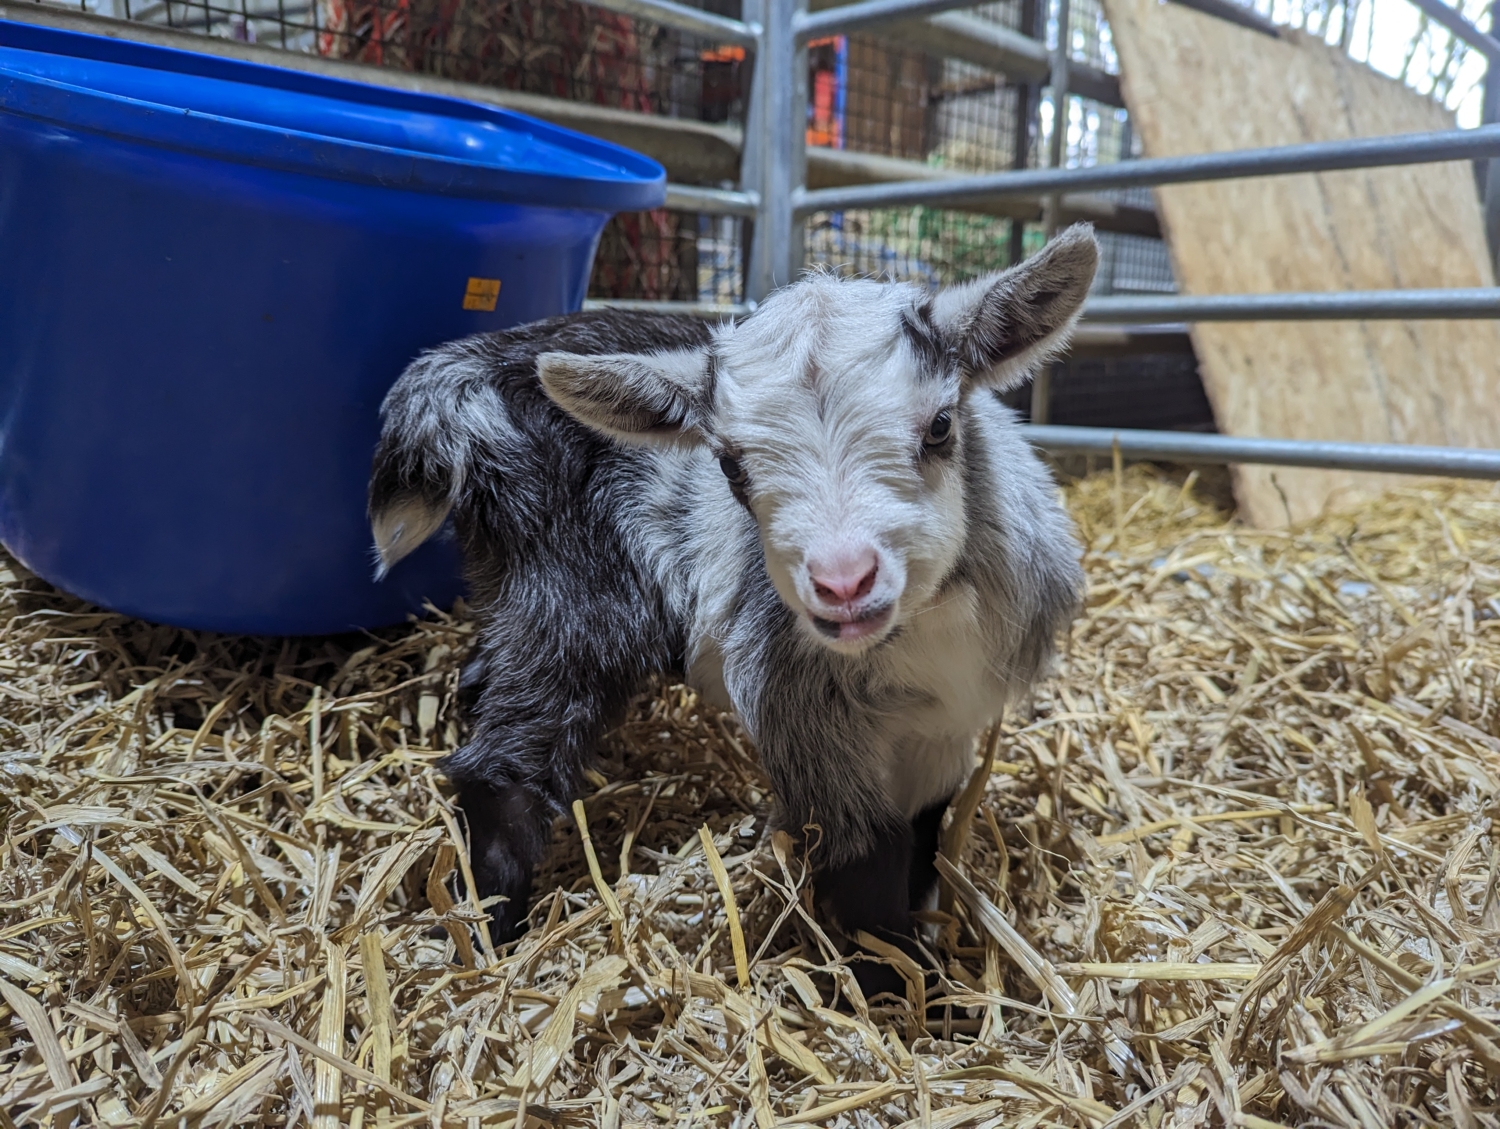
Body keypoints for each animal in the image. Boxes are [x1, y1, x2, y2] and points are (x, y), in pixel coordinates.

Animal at [368, 225, 1098, 978]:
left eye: (941, 426)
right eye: (729, 465)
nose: (843, 583)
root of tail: (452, 372)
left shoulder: (952, 717)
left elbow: (927, 822)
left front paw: (926, 937)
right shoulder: (797, 709)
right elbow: (869, 853)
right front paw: (894, 980)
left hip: (511, 580)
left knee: (484, 676)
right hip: (570, 589)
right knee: (506, 769)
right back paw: (490, 937)